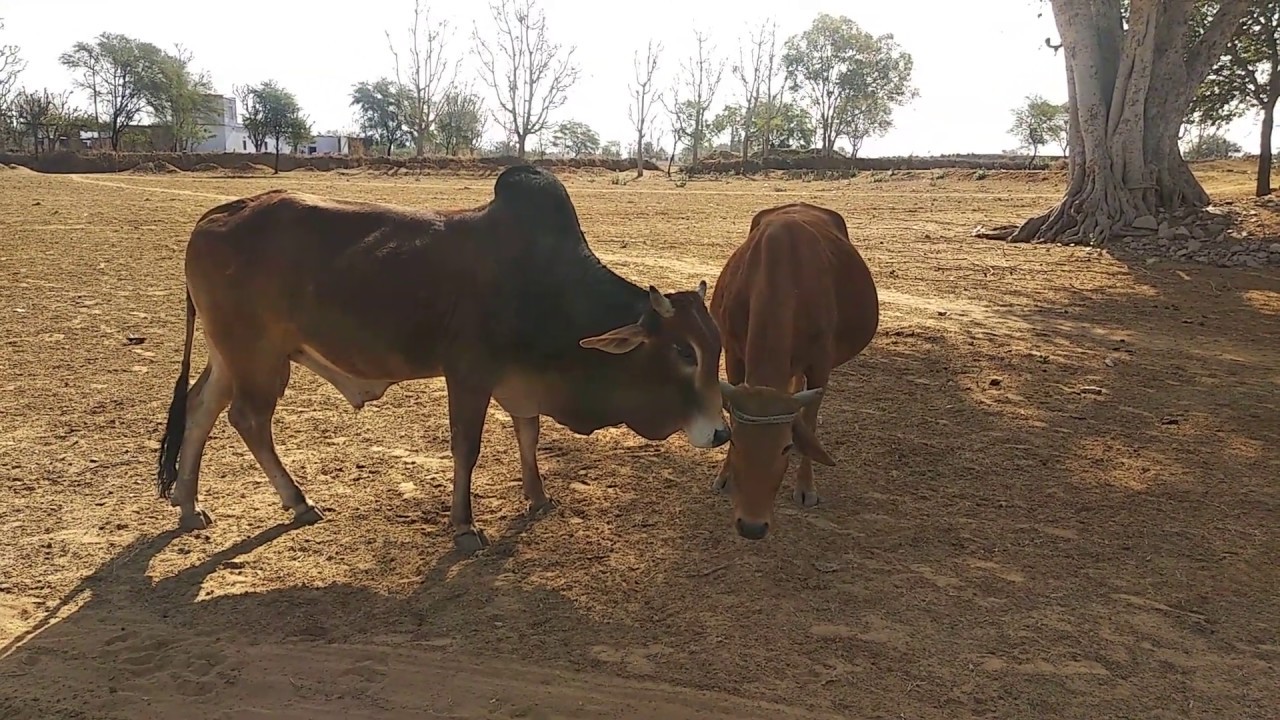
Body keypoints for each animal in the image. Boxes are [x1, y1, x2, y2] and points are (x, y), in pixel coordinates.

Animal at [155, 165, 730, 553]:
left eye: (716, 347)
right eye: (683, 350)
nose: (722, 432)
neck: (544, 284)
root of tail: (216, 215)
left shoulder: (522, 382)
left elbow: (528, 436)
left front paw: (538, 496)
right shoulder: (469, 375)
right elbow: (466, 449)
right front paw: (465, 526)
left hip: (231, 353)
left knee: (200, 408)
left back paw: (188, 504)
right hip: (259, 356)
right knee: (247, 419)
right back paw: (296, 501)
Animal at [708, 201, 879, 540]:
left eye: (786, 447)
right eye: (735, 442)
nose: (752, 526)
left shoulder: (820, 363)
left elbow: (809, 420)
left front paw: (806, 488)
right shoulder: (732, 352)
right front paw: (725, 475)